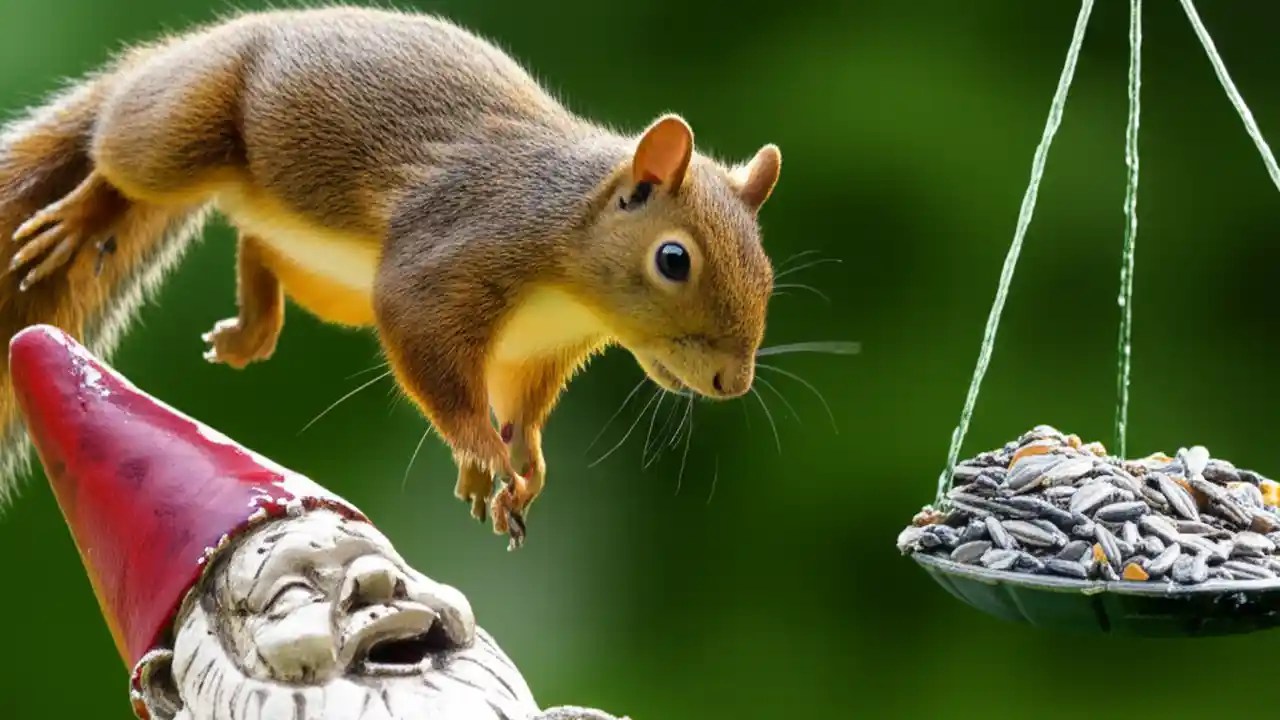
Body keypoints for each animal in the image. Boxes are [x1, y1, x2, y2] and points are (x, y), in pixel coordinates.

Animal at [0, 5, 781, 549]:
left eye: (768, 272)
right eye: (673, 259)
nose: (732, 382)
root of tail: (208, 37)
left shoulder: (537, 351)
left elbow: (523, 414)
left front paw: (523, 470)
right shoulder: (450, 256)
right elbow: (428, 350)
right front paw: (479, 451)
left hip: (328, 279)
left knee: (259, 245)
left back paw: (252, 325)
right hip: (185, 126)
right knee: (118, 156)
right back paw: (86, 214)